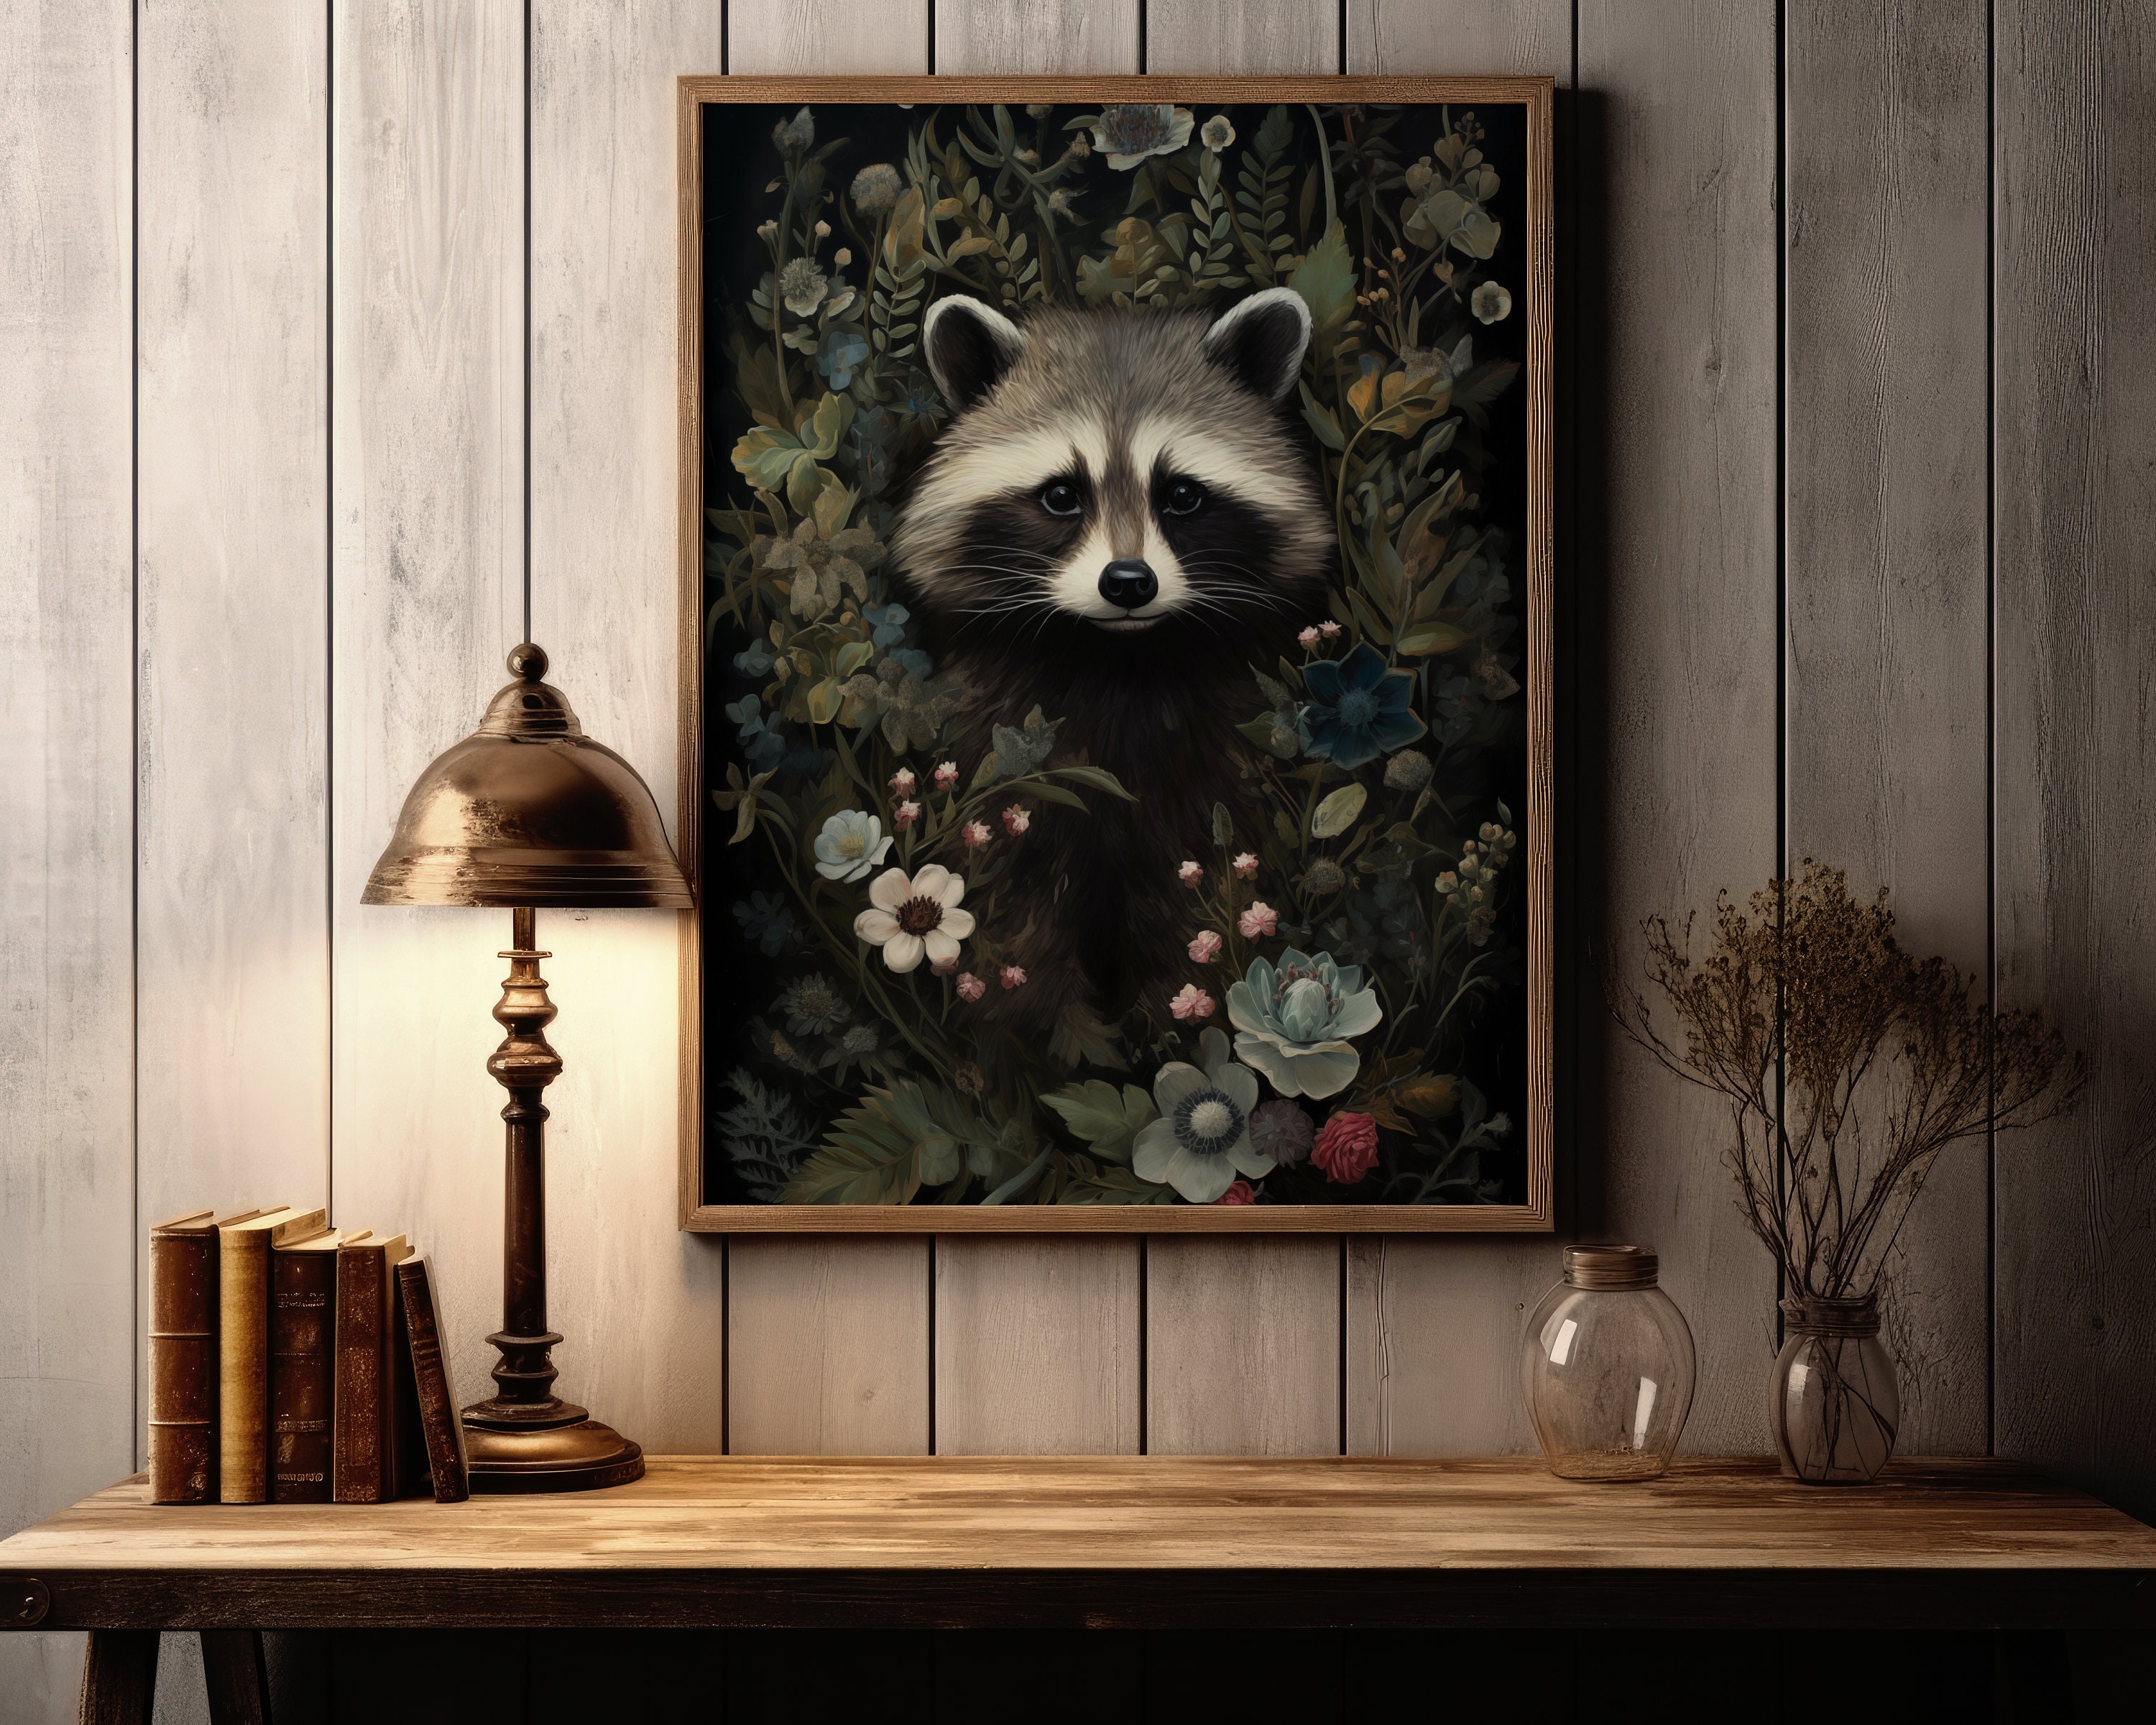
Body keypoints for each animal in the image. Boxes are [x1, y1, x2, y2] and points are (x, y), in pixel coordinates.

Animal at [891, 287, 1333, 1047]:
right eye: (1062, 495)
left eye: (1181, 494)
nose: (1129, 582)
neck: (1118, 660)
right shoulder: (1007, 751)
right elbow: (1016, 905)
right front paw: (1036, 1033)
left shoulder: (1218, 762)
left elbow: (1203, 893)